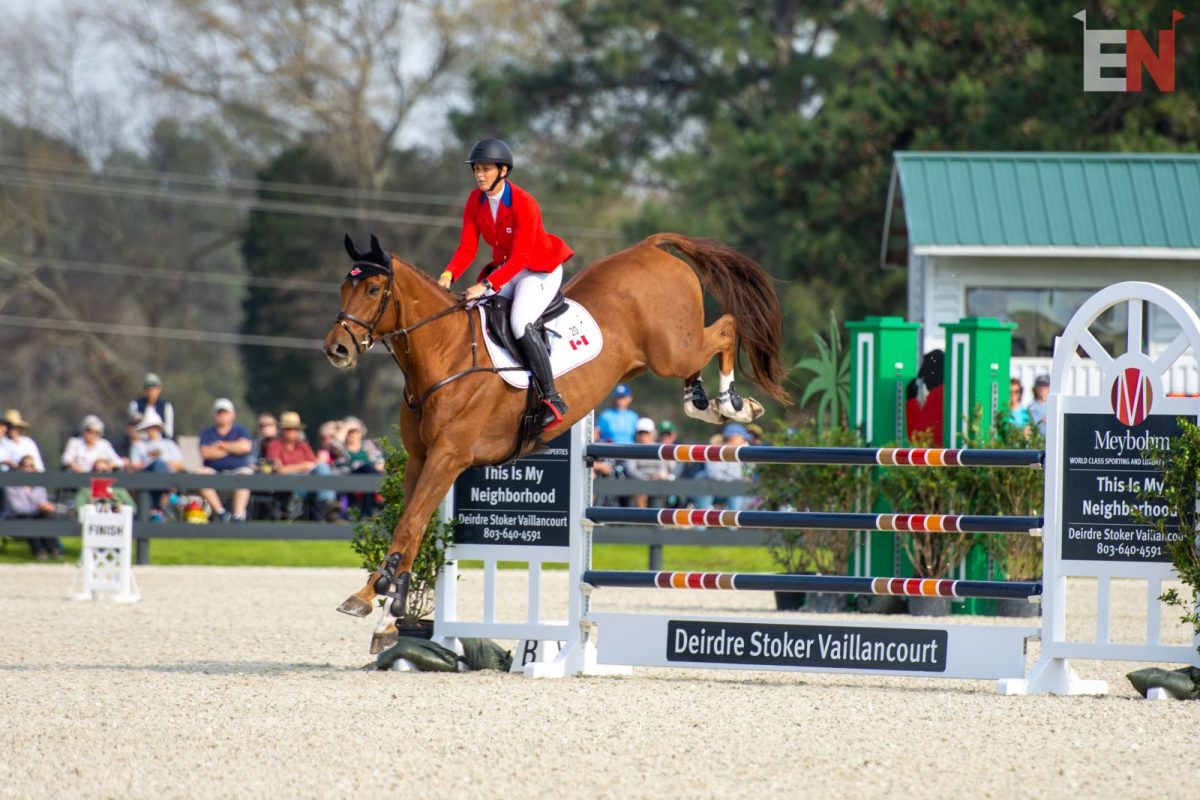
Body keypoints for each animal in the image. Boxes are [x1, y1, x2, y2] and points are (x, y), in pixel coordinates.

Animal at [325, 233, 788, 619]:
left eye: (372, 289)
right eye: (343, 288)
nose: (337, 349)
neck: (447, 353)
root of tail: (650, 246)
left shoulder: (448, 457)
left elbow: (409, 522)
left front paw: (378, 593)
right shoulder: (421, 458)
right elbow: (410, 523)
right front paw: (382, 593)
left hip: (673, 348)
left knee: (726, 329)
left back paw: (735, 404)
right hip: (658, 356)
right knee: (701, 360)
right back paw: (705, 404)